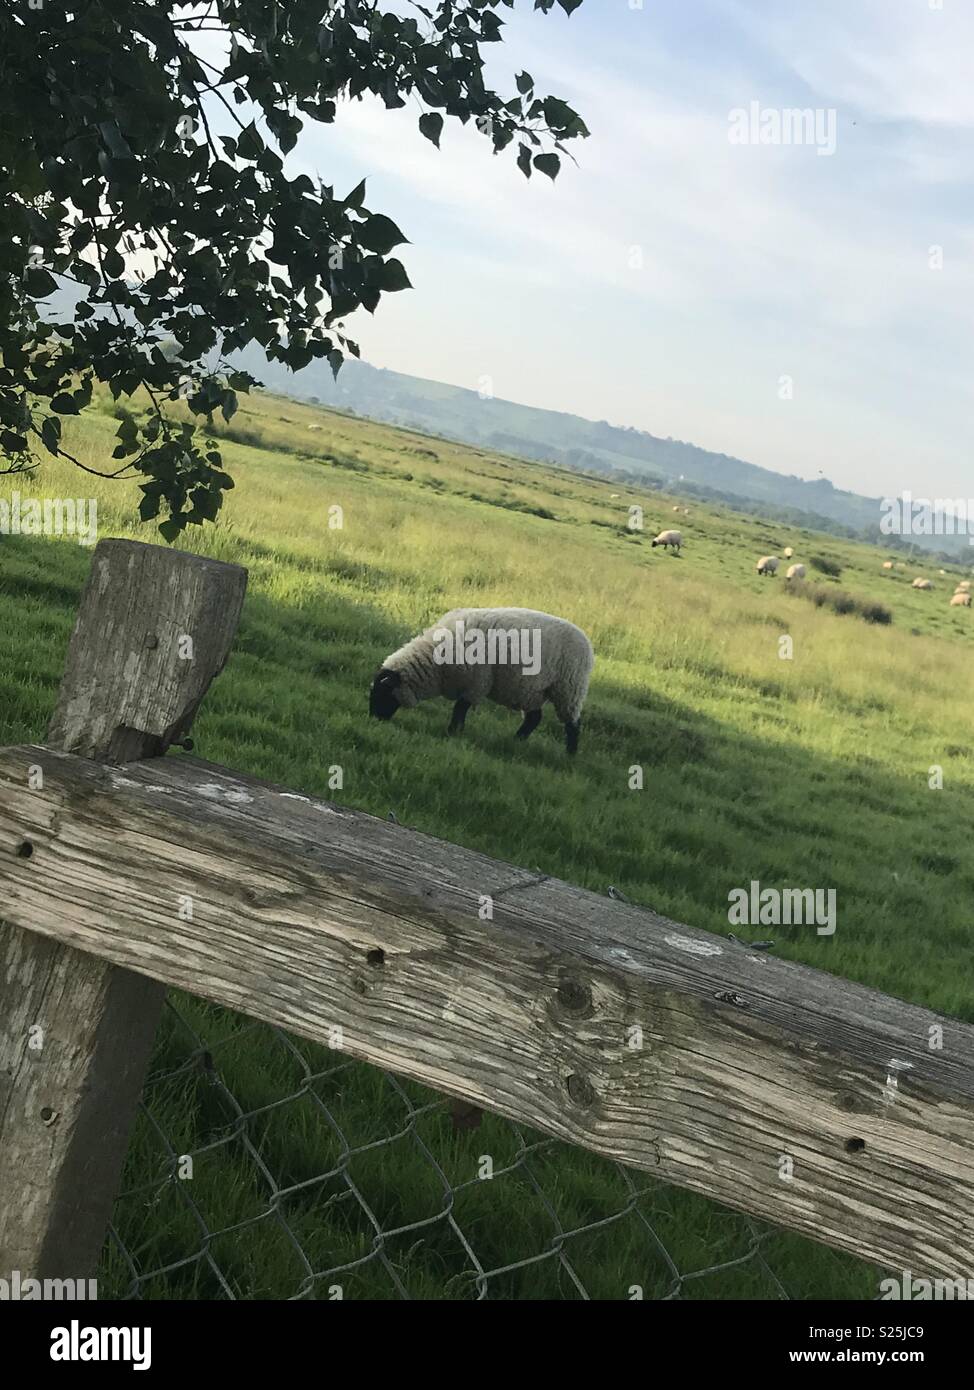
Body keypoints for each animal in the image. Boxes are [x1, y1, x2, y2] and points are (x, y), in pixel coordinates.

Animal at [369, 607, 594, 754]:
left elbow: (460, 708)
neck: (436, 661)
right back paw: (517, 740)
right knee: (534, 718)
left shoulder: (476, 683)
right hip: (532, 690)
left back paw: (570, 754)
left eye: (382, 694)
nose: (374, 720)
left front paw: (453, 732)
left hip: (569, 688)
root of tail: (587, 642)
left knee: (572, 723)